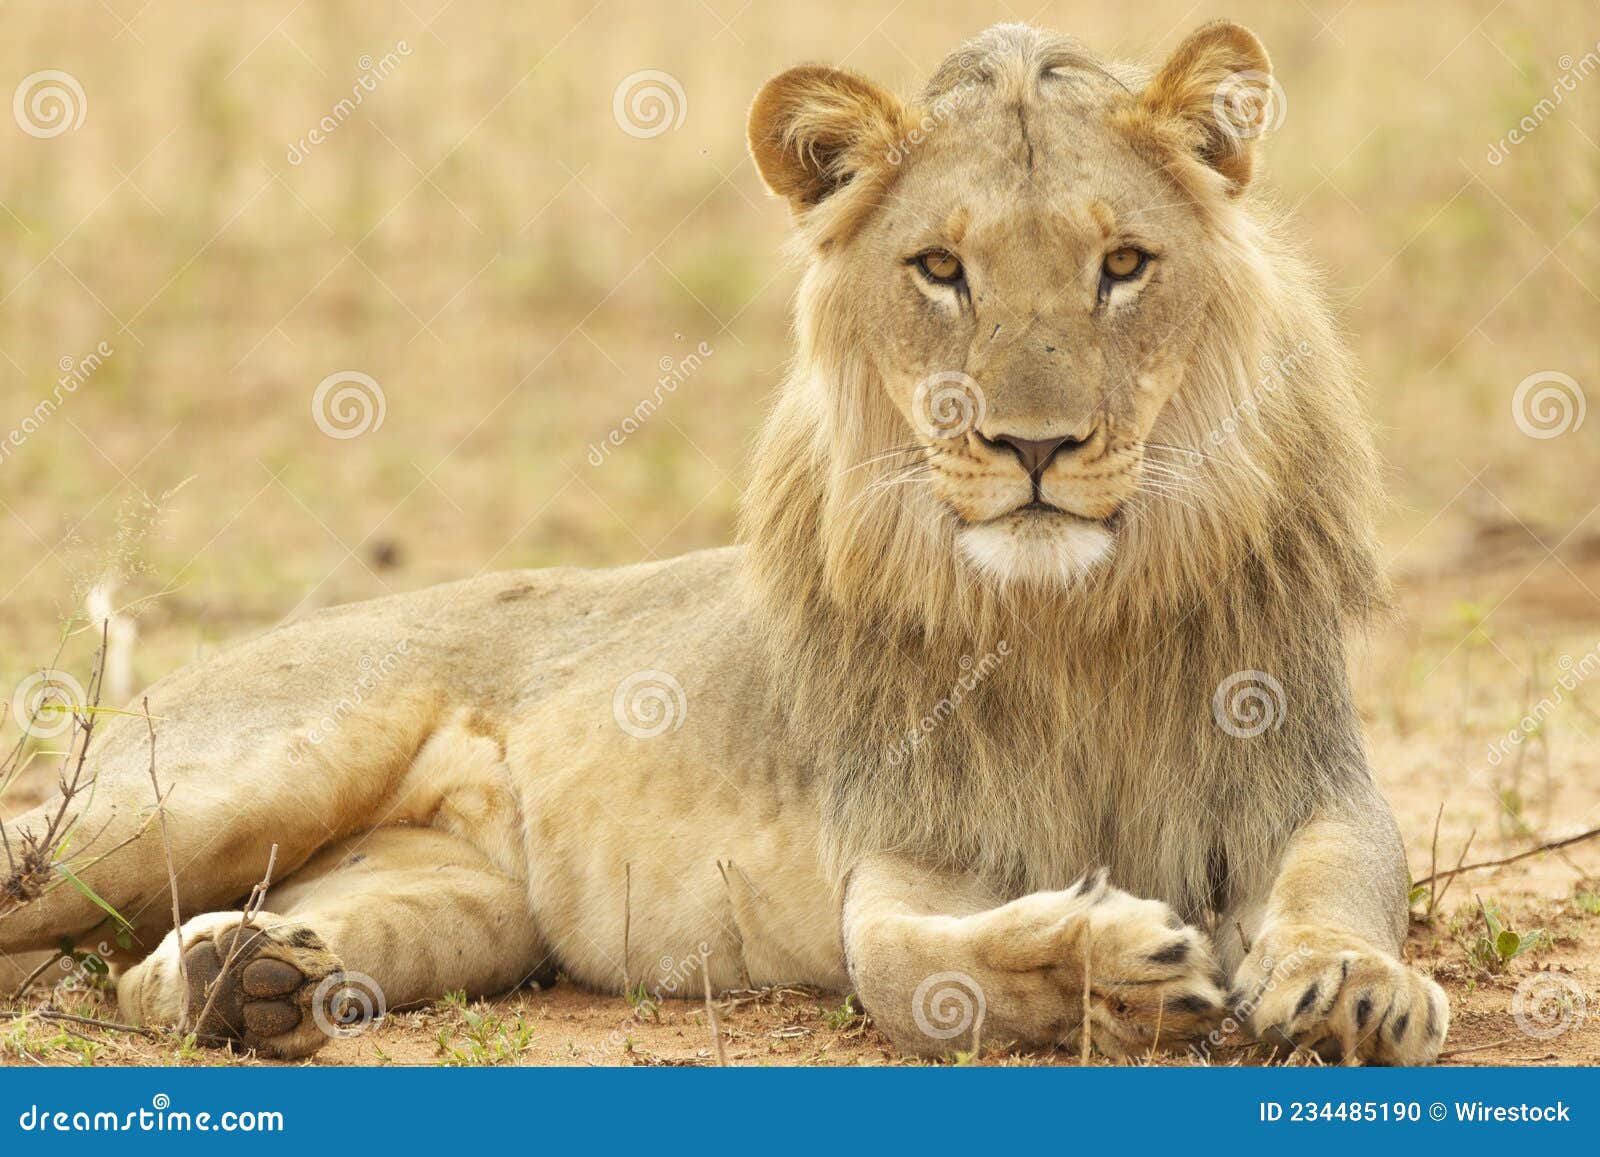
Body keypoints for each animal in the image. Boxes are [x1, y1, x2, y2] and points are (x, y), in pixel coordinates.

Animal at [0, 20, 1447, 1065]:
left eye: (1125, 265)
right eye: (940, 270)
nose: (1032, 445)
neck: (1065, 625)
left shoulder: (1301, 765)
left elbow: (1345, 878)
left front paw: (1352, 983)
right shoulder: (909, 839)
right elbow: (909, 966)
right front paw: (1116, 971)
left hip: (455, 899)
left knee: (152, 966)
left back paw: (243, 979)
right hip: (226, 782)